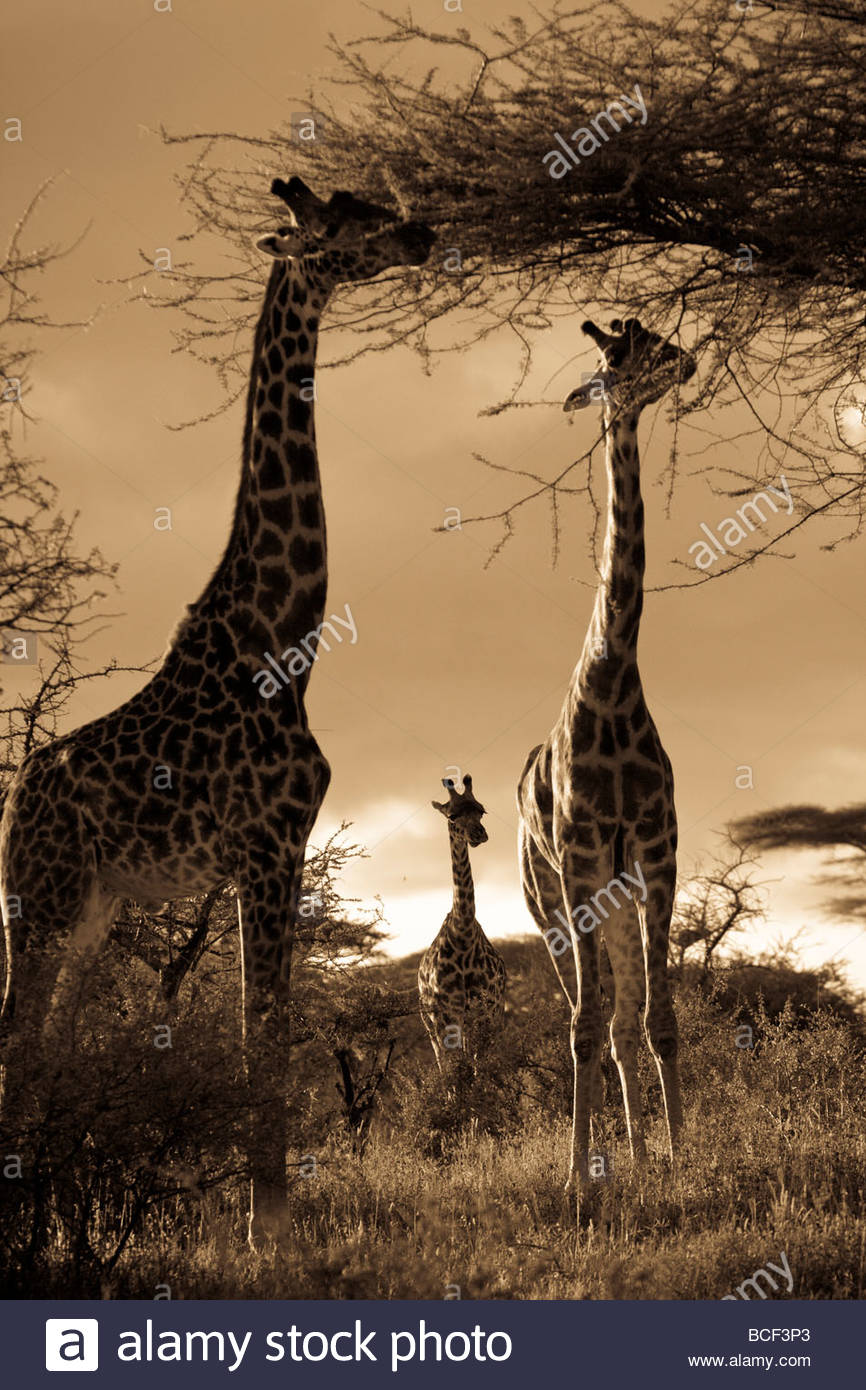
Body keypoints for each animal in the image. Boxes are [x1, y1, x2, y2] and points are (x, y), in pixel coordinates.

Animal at [0, 175, 435, 1244]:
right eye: (343, 222)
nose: (421, 231)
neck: (283, 637)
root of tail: (16, 798)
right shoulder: (266, 846)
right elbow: (261, 1036)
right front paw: (266, 1227)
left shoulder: (271, 850)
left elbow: (265, 1031)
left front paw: (265, 1218)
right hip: (39, 898)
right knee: (16, 1038)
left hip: (94, 907)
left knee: (47, 1044)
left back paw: (38, 1210)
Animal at [418, 776, 506, 1075]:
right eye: (452, 816)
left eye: (481, 810)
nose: (479, 833)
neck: (463, 935)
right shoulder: (446, 1014)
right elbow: (457, 1072)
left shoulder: (487, 1009)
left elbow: (479, 1069)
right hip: (431, 1022)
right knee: (444, 1064)